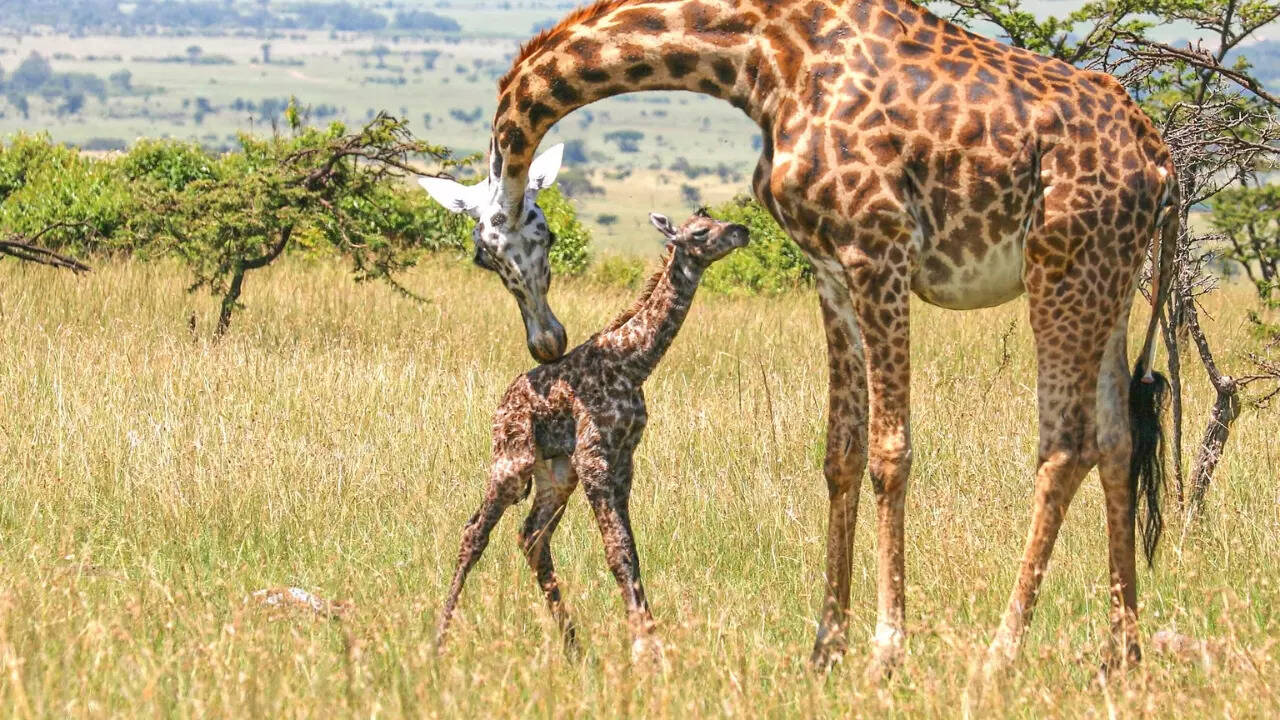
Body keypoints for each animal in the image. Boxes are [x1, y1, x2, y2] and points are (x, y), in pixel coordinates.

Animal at [435, 210, 749, 658]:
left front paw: (647, 642)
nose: (743, 231)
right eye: (702, 231)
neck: (633, 362)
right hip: (512, 462)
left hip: (556, 473)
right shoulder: (594, 456)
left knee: (532, 537)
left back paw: (574, 647)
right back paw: (438, 639)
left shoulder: (622, 458)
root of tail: (501, 404)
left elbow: (629, 549)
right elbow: (617, 551)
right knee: (474, 532)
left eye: (716, 217)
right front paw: (644, 651)